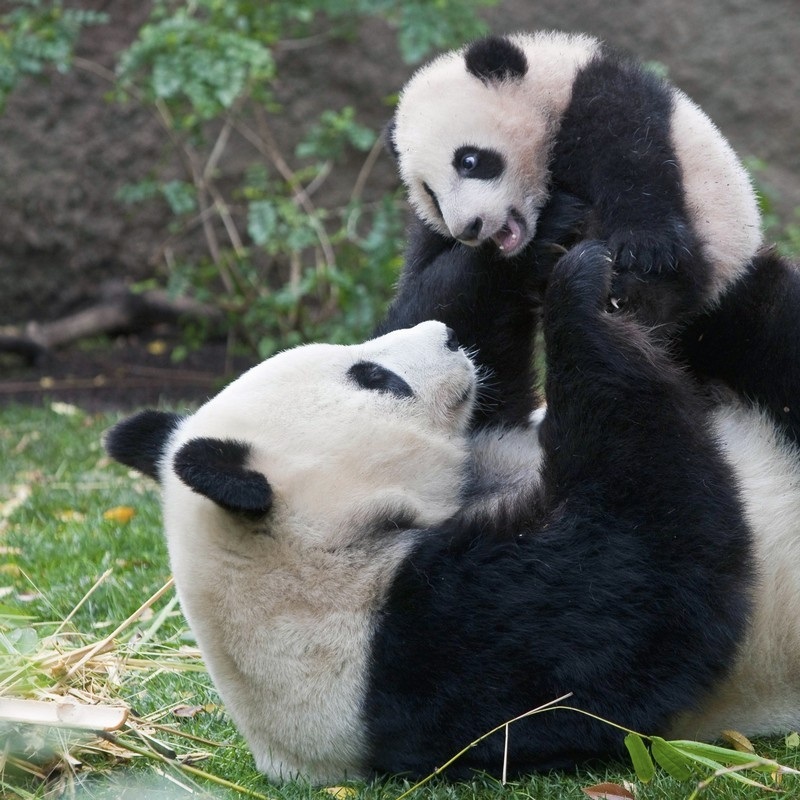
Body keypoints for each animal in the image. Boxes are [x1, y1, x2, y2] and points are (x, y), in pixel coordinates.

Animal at [388, 30, 762, 326]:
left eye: (469, 161)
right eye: (430, 195)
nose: (468, 228)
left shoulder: (601, 97)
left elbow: (632, 157)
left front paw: (644, 247)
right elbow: (423, 306)